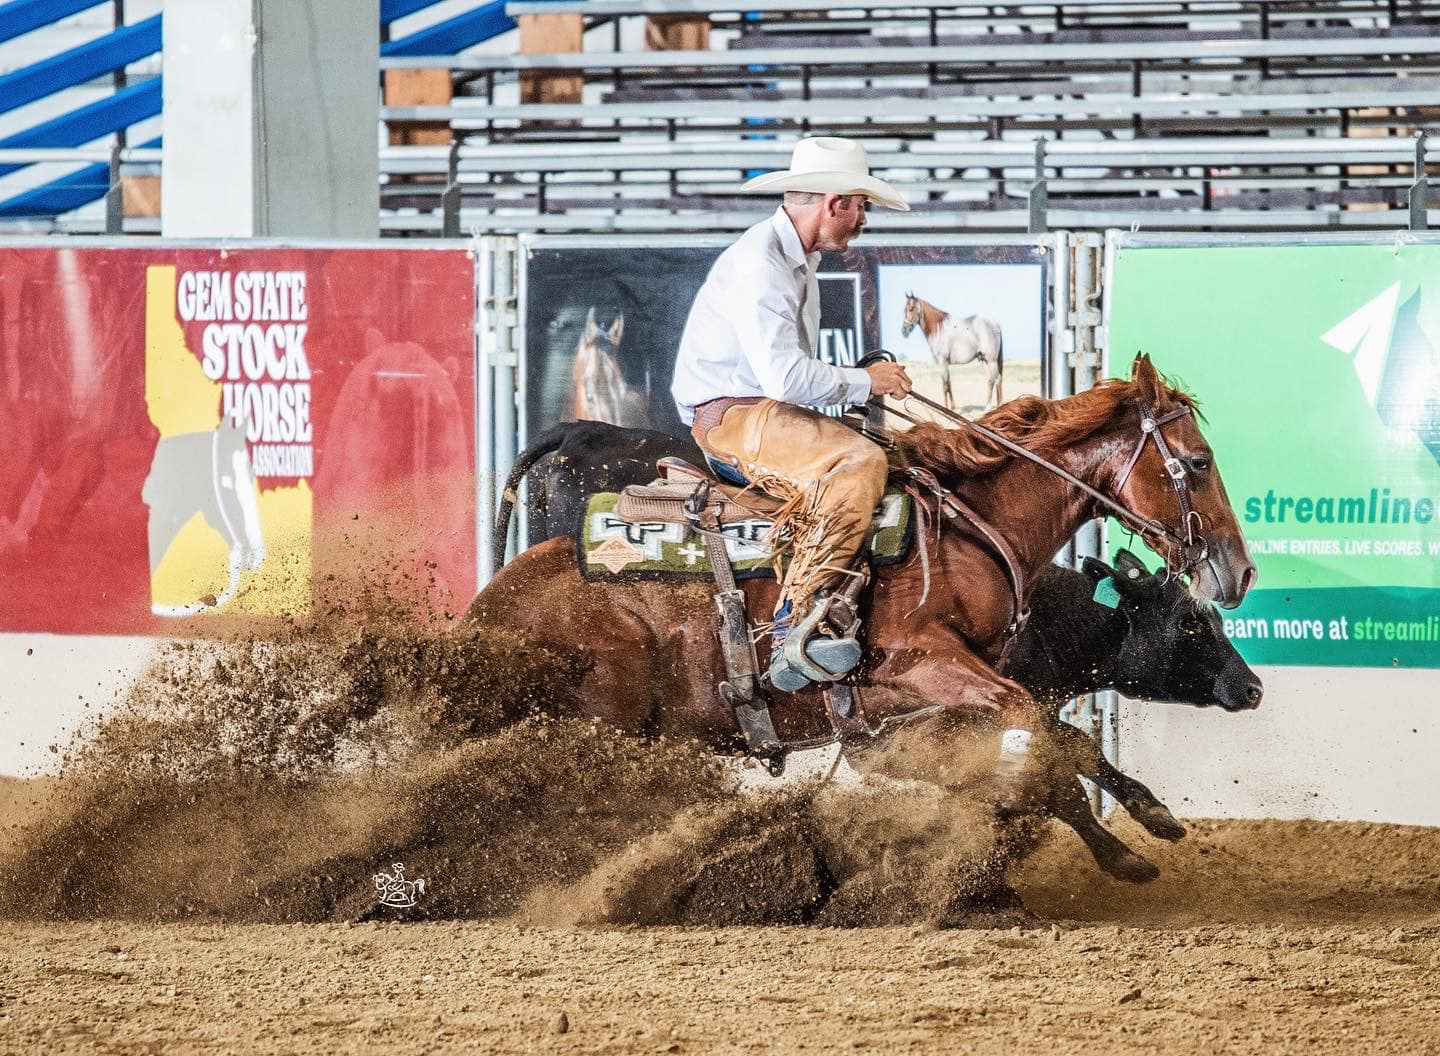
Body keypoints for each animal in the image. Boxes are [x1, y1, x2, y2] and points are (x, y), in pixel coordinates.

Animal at [466, 356, 1255, 904]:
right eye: (1198, 462)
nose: (1239, 570)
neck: (972, 527)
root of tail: (487, 612)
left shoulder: (912, 718)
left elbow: (1065, 742)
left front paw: (1151, 814)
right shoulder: (919, 669)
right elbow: (1042, 746)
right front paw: (1112, 852)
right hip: (608, 714)